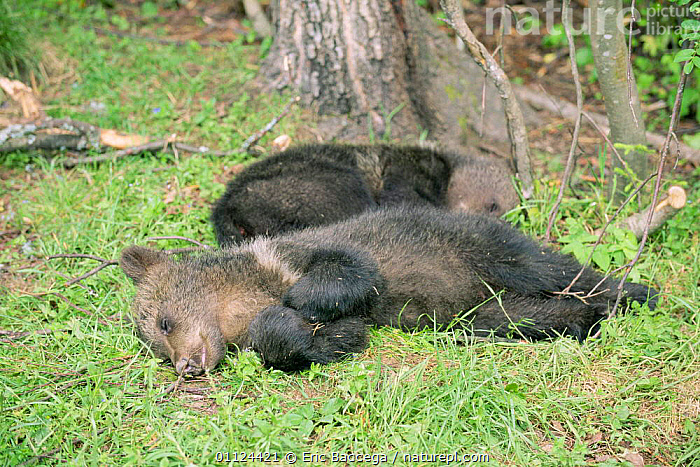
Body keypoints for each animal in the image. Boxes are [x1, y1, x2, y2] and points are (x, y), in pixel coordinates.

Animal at [121, 205, 657, 375]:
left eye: (163, 321)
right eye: (156, 345)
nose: (185, 365)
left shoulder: (310, 252)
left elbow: (351, 272)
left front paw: (295, 303)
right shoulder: (359, 321)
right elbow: (333, 337)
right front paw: (291, 330)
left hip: (481, 248)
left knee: (551, 269)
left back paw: (632, 292)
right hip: (478, 312)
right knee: (525, 316)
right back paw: (586, 317)